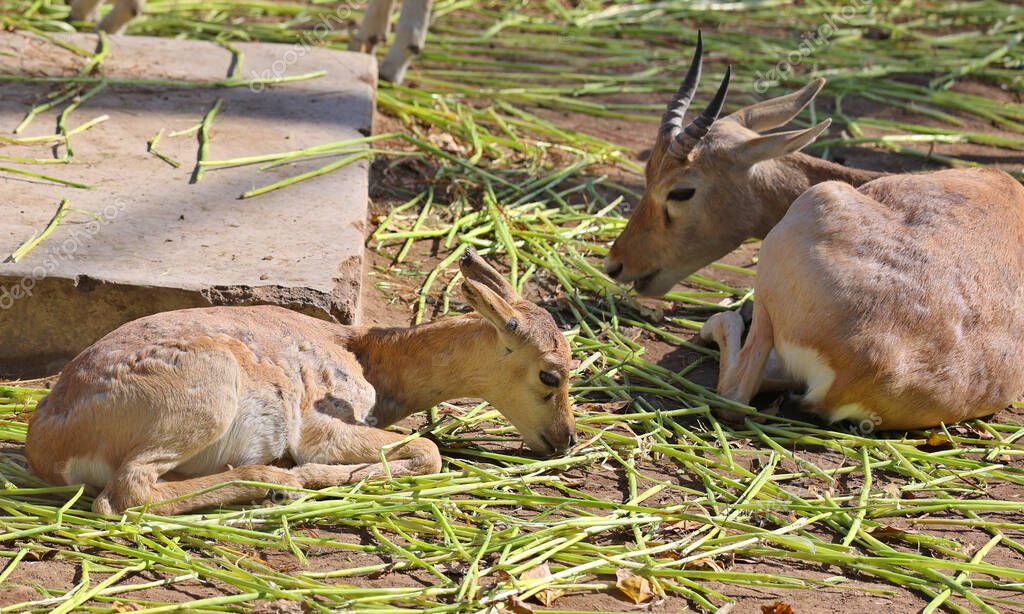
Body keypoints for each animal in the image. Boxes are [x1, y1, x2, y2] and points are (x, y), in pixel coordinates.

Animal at [26, 249, 576, 515]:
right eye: (551, 373)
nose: (567, 439)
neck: (368, 355)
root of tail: (46, 444)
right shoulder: (320, 427)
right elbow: (428, 449)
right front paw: (328, 474)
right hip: (202, 404)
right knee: (127, 494)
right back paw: (283, 483)